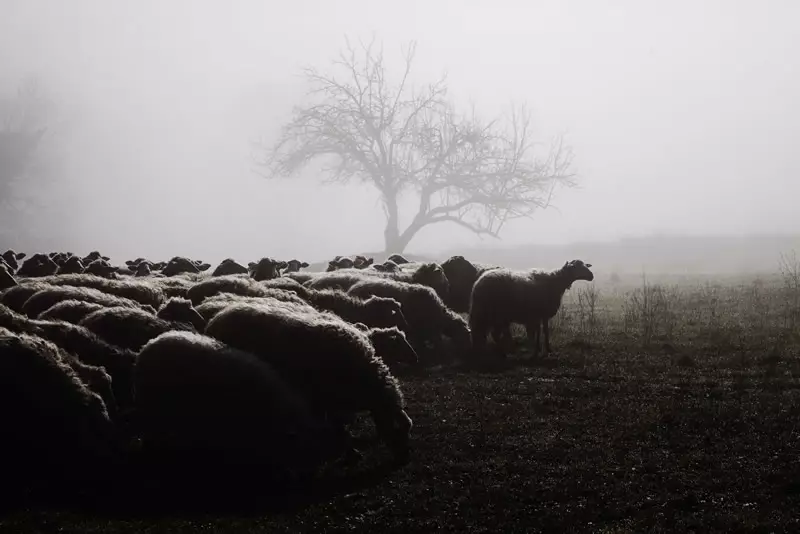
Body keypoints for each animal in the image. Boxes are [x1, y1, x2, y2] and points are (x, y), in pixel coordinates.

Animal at [206, 304, 412, 462]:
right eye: (398, 430)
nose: (404, 460)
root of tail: (217, 317)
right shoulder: (325, 399)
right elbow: (339, 429)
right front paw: (351, 453)